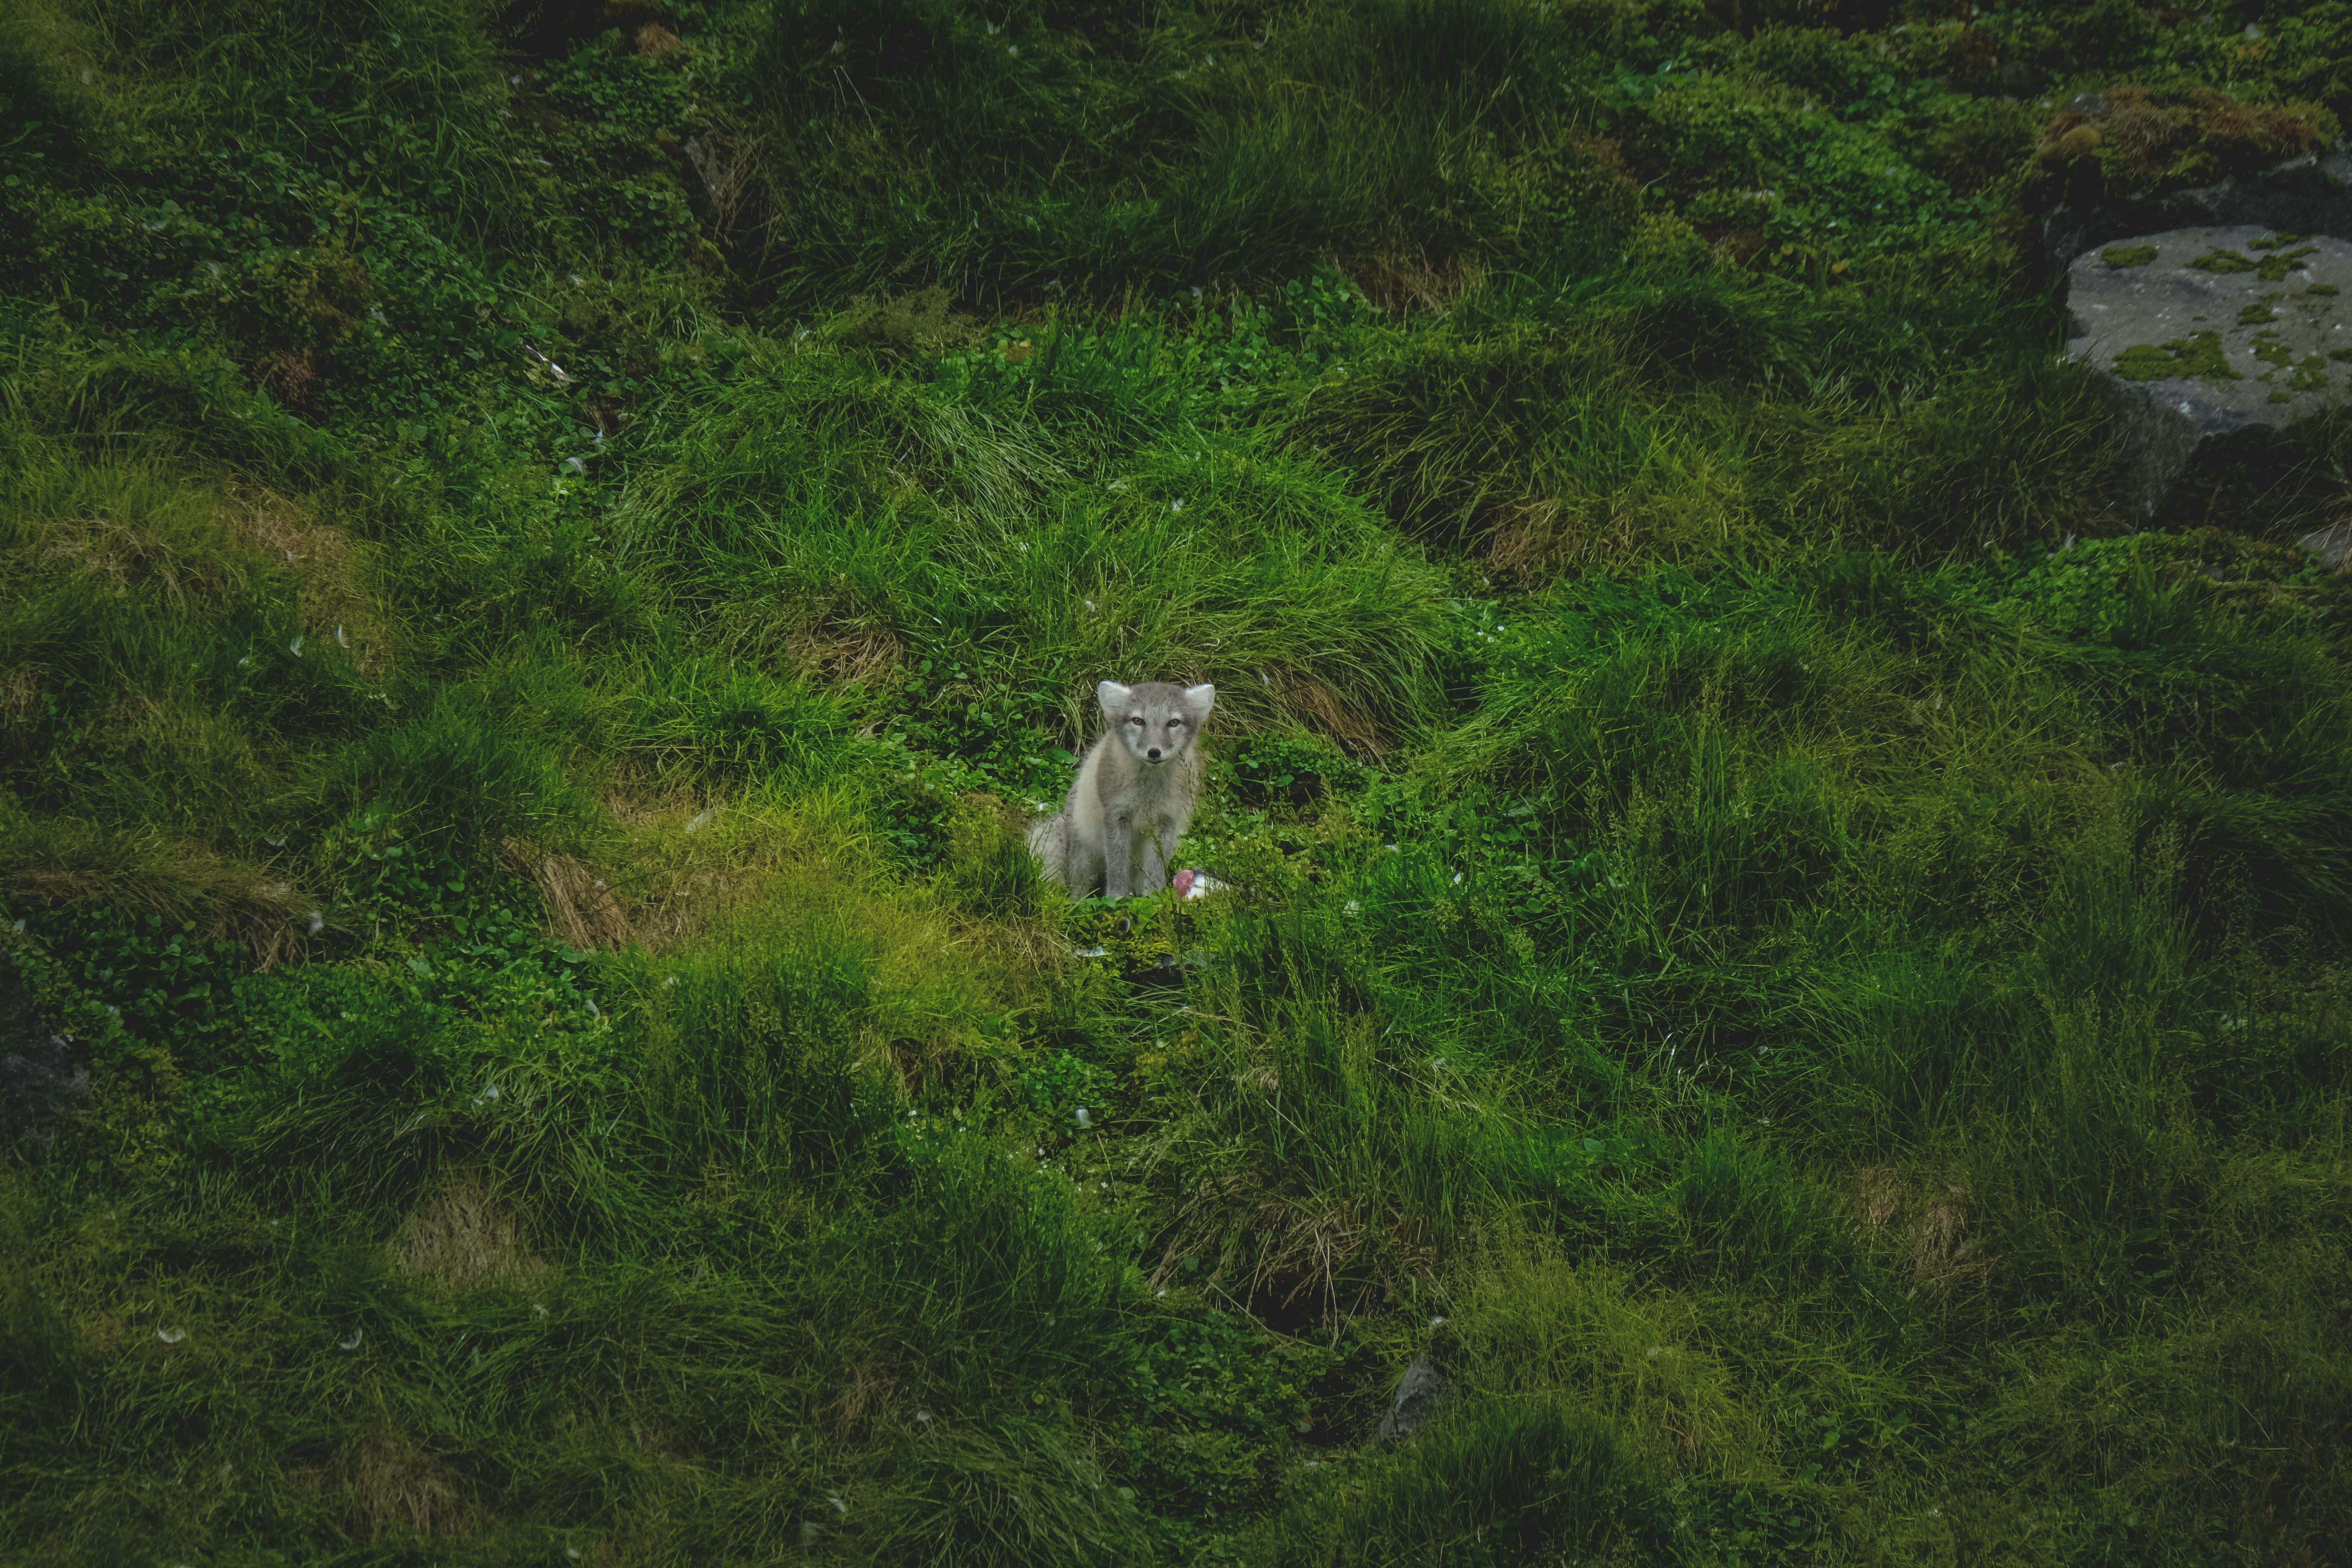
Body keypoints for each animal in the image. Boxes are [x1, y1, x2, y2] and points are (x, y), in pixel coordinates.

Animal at [1029, 680, 1216, 899]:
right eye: (1138, 721)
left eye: (1173, 723)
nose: (1154, 752)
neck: (1149, 792)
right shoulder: (1116, 816)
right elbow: (1117, 866)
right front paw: (1117, 898)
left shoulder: (1167, 821)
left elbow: (1156, 868)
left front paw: (1155, 897)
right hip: (1082, 857)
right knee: (1078, 888)